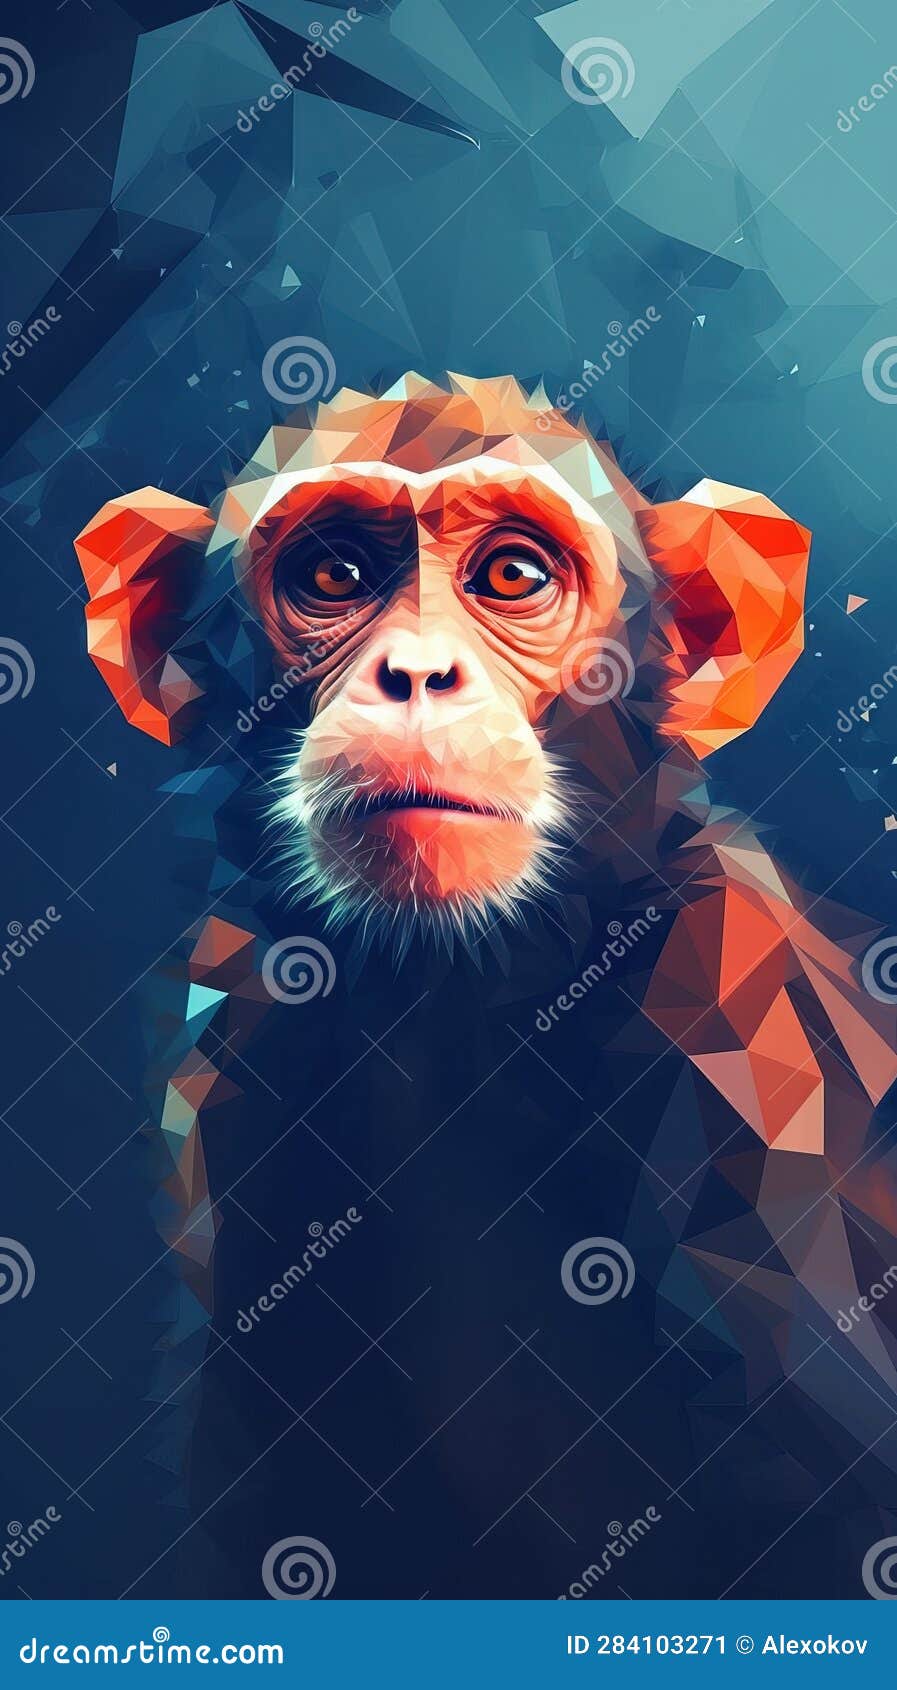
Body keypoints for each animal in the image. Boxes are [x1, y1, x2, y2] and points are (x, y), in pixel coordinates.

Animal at [74, 375, 897, 1598]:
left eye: (511, 575)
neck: (462, 989)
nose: (417, 674)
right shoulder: (229, 1060)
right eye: (334, 575)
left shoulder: (746, 1031)